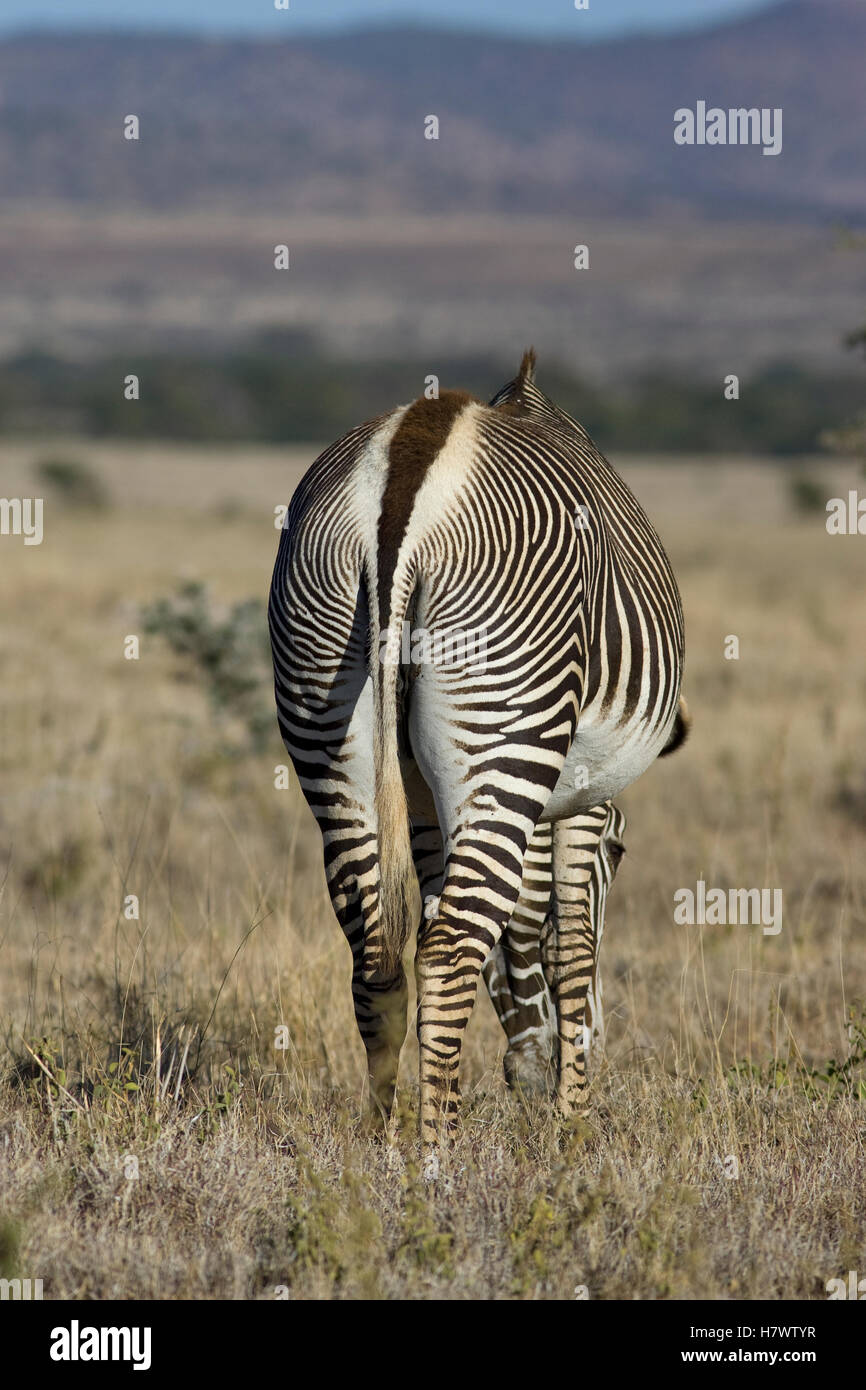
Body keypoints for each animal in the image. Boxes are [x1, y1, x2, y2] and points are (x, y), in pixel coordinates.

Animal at [269, 349, 685, 1144]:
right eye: (620, 854)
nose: (536, 1072)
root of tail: (403, 477)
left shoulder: (427, 800)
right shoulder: (586, 791)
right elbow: (569, 945)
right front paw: (570, 1127)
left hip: (325, 706)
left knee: (377, 956)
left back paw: (382, 1148)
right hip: (504, 718)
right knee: (448, 953)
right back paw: (436, 1161)